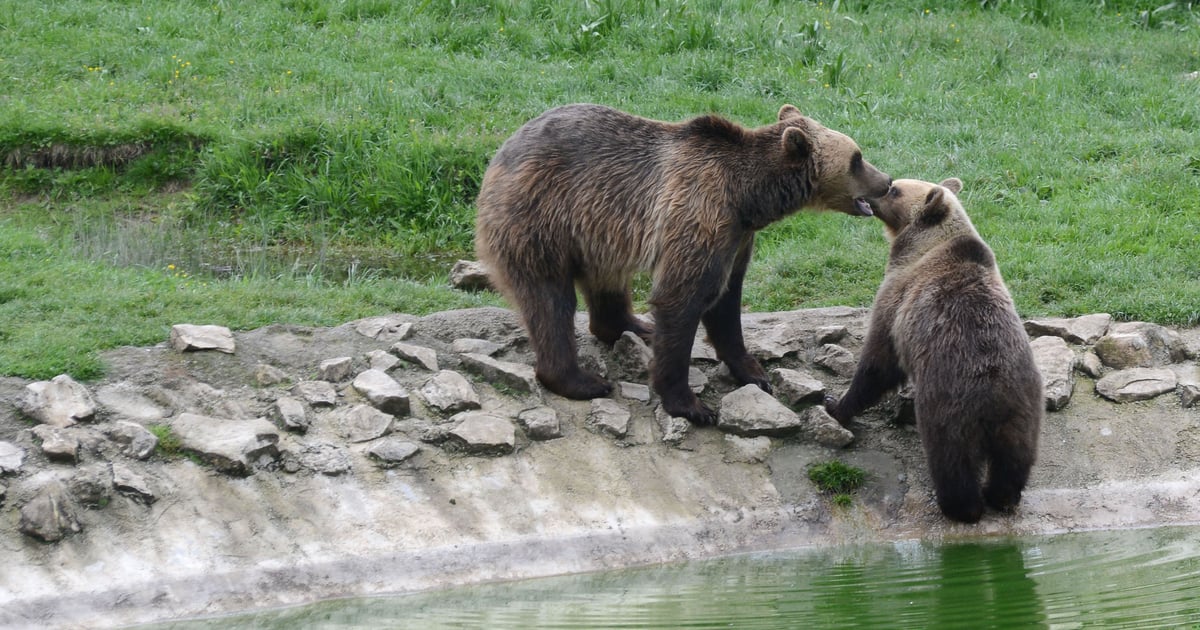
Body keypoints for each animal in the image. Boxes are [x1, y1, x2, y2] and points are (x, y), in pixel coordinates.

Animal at [475, 103, 891, 425]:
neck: (749, 198)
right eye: (856, 159)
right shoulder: (700, 213)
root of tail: (498, 156)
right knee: (548, 298)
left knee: (606, 281)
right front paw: (691, 405)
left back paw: (631, 325)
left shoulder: (737, 238)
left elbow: (727, 304)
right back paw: (581, 379)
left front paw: (754, 371)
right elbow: (683, 297)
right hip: (541, 215)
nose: (886, 180)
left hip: (597, 232)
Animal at [824, 177, 1043, 523]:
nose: (877, 189)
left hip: (948, 404)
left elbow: (878, 362)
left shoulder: (897, 301)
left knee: (951, 459)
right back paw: (1002, 497)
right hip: (1024, 410)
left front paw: (835, 403)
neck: (922, 244)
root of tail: (994, 393)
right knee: (1014, 460)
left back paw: (961, 507)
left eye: (895, 189)